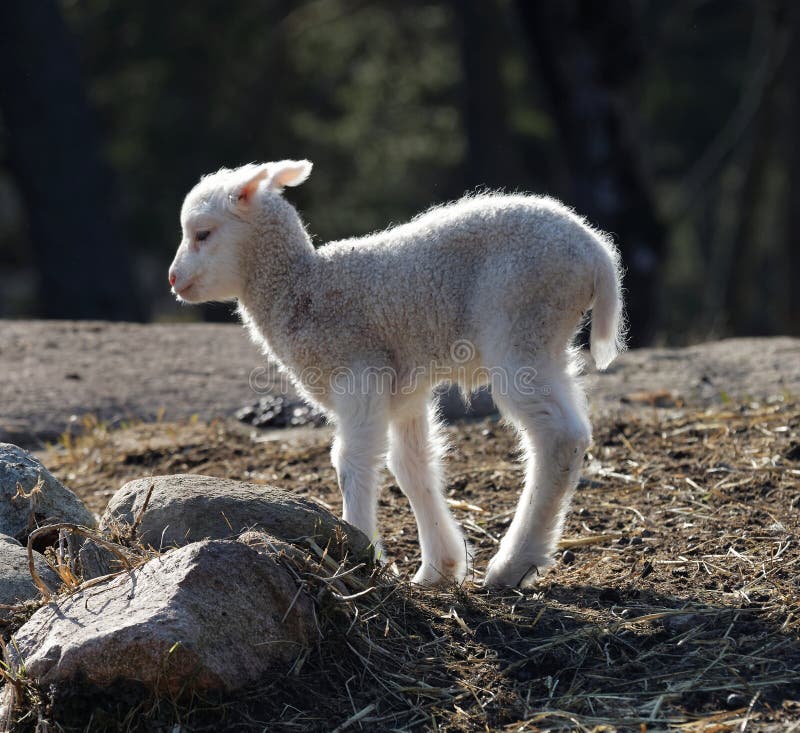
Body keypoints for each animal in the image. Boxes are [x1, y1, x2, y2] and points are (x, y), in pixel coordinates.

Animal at [168, 160, 625, 588]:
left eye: (202, 233)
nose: (174, 279)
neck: (300, 288)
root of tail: (596, 252)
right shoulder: (405, 388)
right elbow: (411, 465)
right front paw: (439, 568)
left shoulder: (358, 370)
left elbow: (352, 461)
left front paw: (358, 554)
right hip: (549, 341)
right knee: (572, 427)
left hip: (520, 322)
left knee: (557, 436)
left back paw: (512, 566)